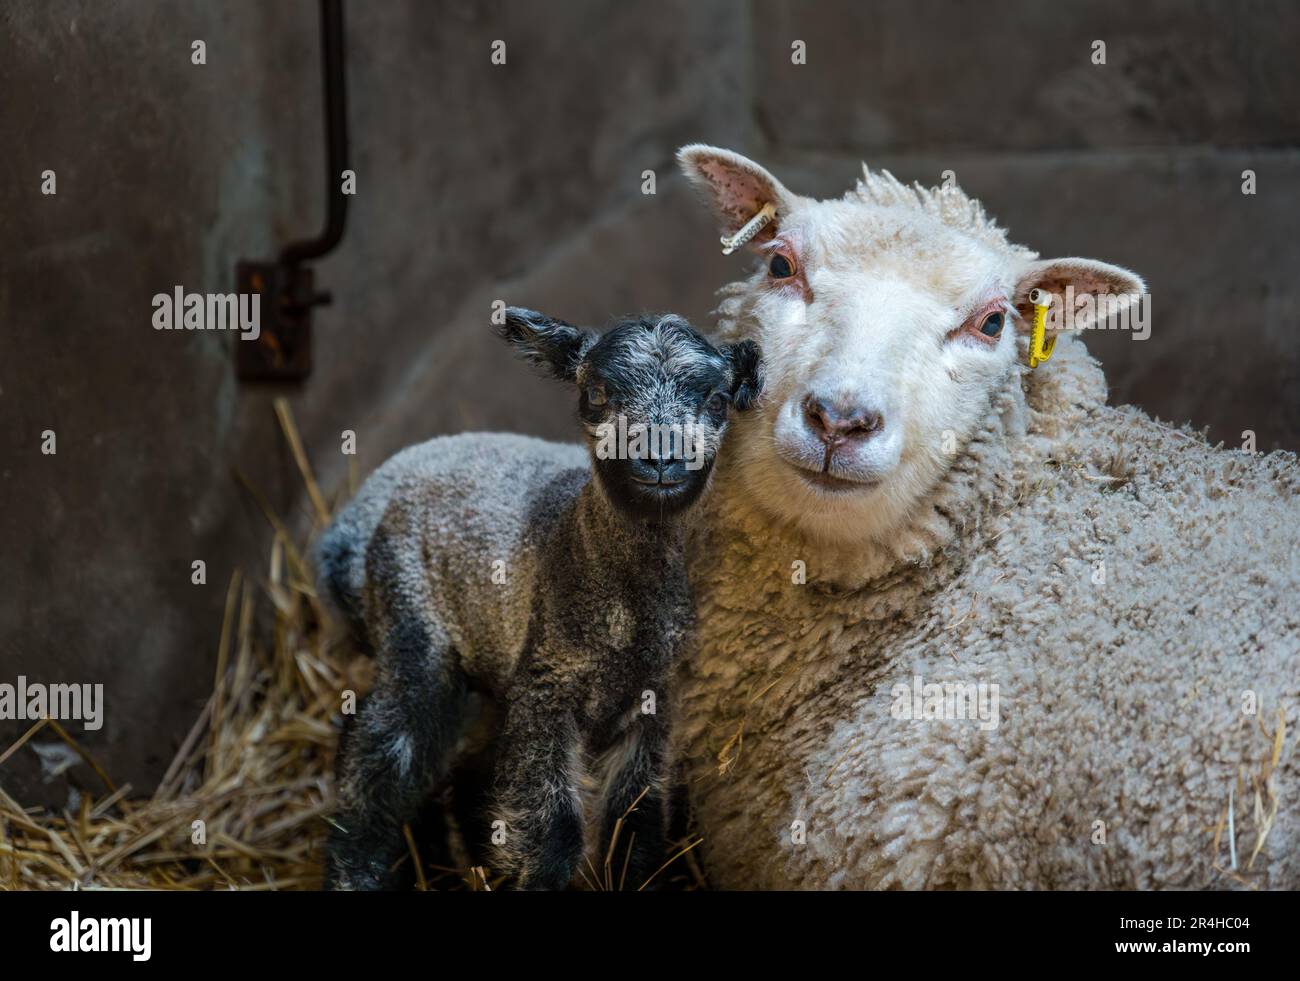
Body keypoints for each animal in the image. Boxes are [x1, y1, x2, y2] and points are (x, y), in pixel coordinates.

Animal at [318, 307, 761, 890]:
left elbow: (635, 825)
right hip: (412, 617)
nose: (660, 458)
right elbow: (552, 836)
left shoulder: (656, 705)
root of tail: (346, 532)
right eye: (597, 393)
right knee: (380, 763)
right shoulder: (544, 687)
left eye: (716, 398)